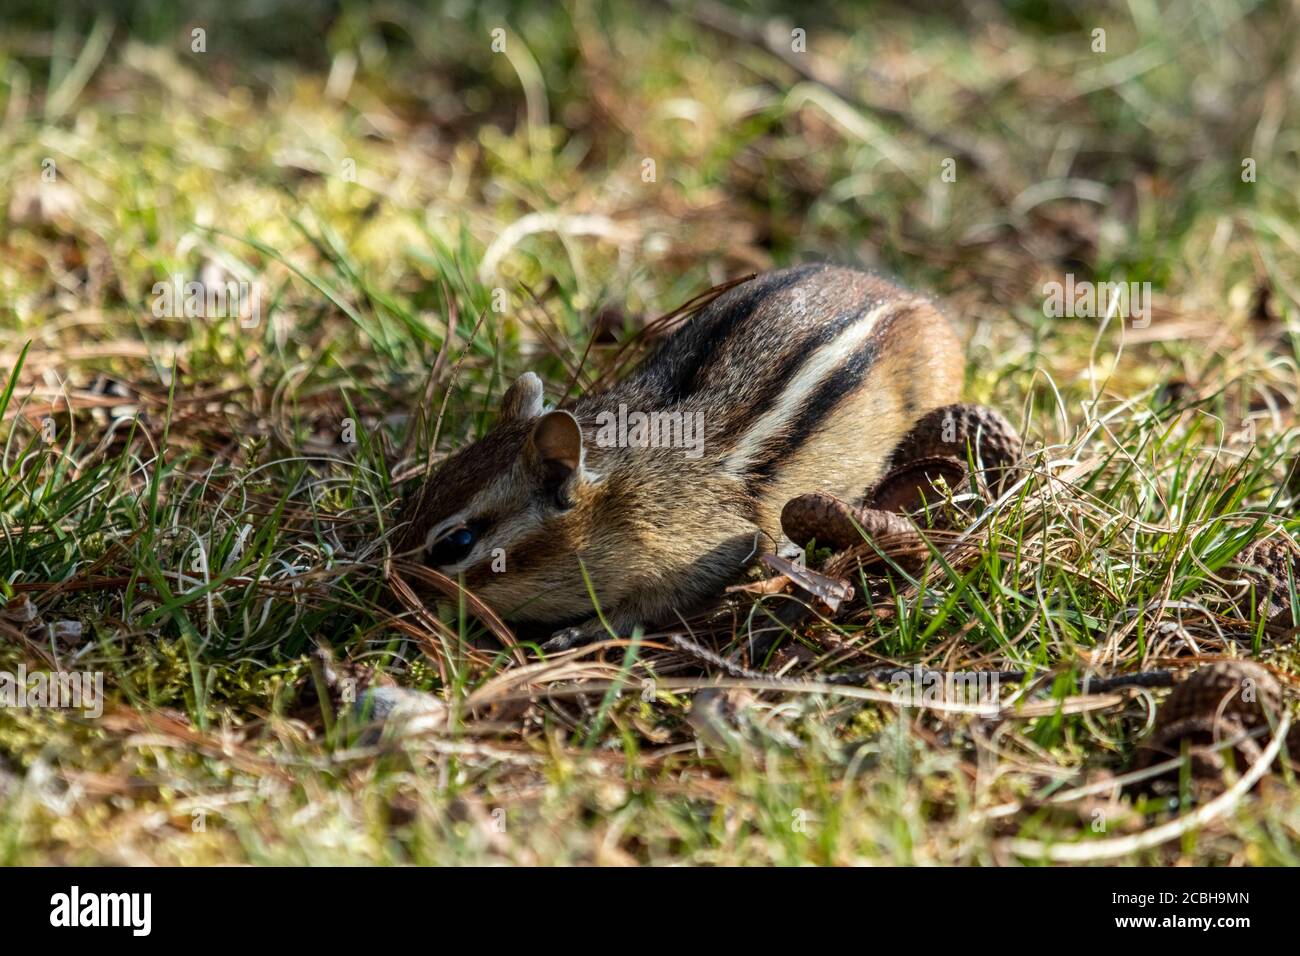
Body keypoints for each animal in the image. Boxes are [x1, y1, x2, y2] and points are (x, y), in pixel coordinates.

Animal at [399, 263, 970, 651]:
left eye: (456, 544)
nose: (391, 582)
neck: (620, 492)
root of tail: (915, 297)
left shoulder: (708, 548)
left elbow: (653, 603)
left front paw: (583, 630)